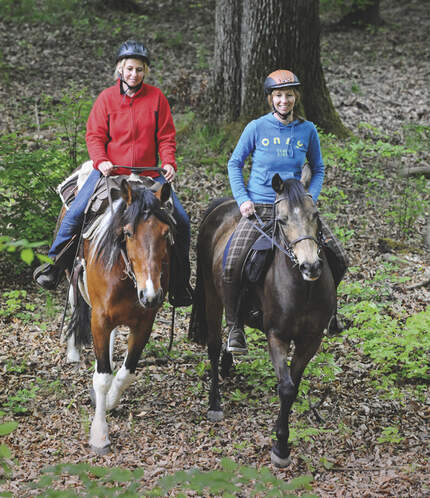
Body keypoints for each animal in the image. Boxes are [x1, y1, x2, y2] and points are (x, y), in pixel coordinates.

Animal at [69, 173, 173, 454]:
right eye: (128, 232)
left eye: (166, 233)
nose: (151, 295)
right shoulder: (99, 319)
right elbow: (102, 378)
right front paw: (99, 434)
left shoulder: (144, 322)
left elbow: (127, 373)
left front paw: (111, 401)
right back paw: (73, 352)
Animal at [188, 175, 336, 466]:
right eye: (282, 220)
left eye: (315, 215)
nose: (310, 266)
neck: (303, 288)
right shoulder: (276, 336)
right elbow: (286, 388)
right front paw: (280, 447)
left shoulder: (310, 340)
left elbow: (294, 385)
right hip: (211, 294)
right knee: (213, 344)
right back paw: (215, 403)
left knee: (234, 321)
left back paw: (230, 354)